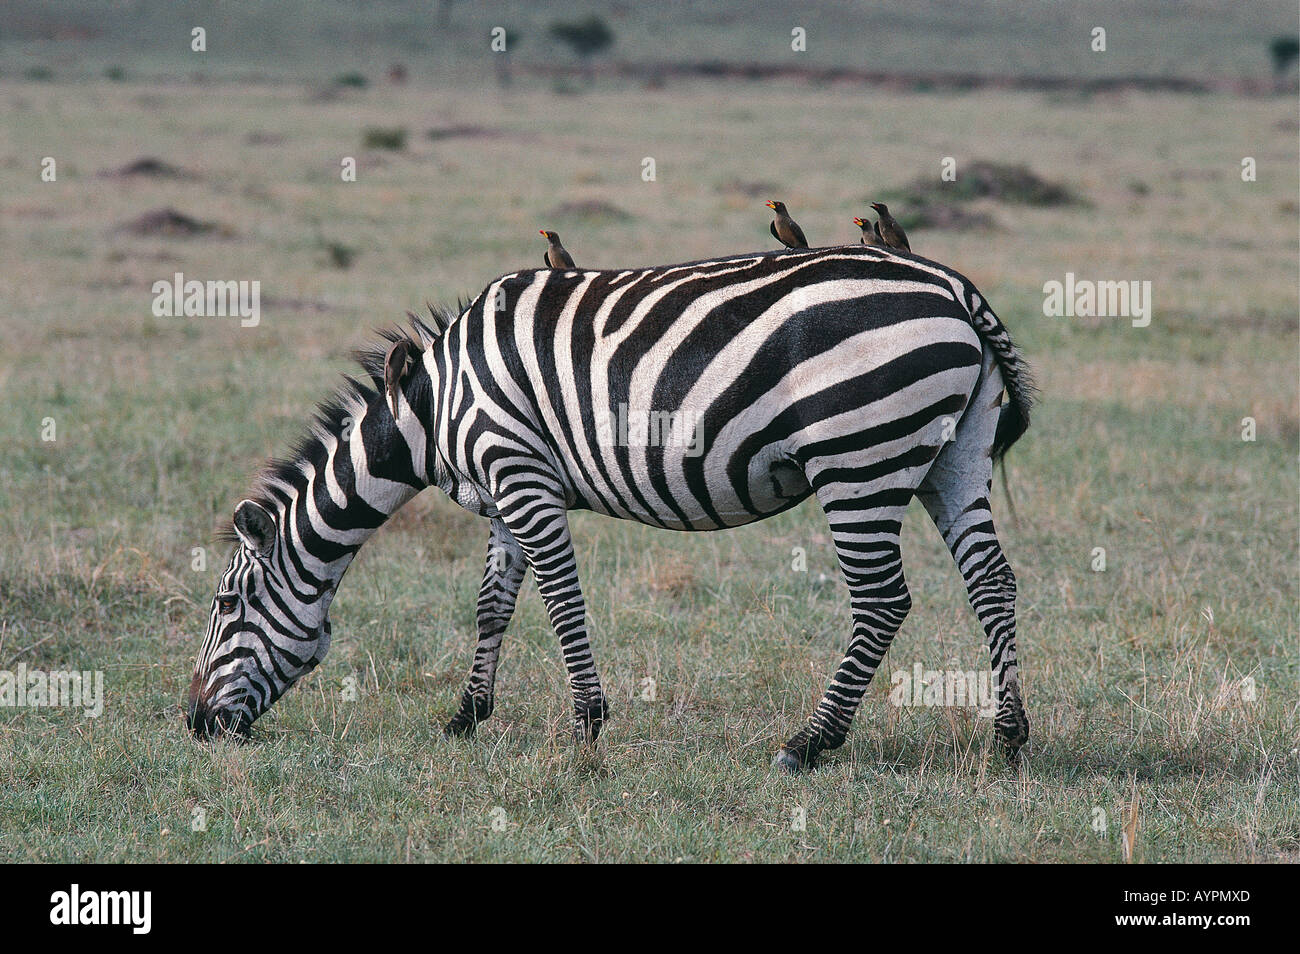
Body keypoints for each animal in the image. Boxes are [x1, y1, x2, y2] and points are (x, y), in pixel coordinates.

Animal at [187, 245, 1034, 772]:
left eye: (226, 606)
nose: (193, 725)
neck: (431, 408)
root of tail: (953, 288)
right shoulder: (503, 495)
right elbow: (492, 604)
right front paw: (466, 715)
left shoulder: (521, 474)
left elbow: (562, 600)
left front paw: (587, 726)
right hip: (952, 456)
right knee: (992, 581)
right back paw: (1009, 737)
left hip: (858, 455)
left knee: (882, 599)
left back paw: (810, 742)